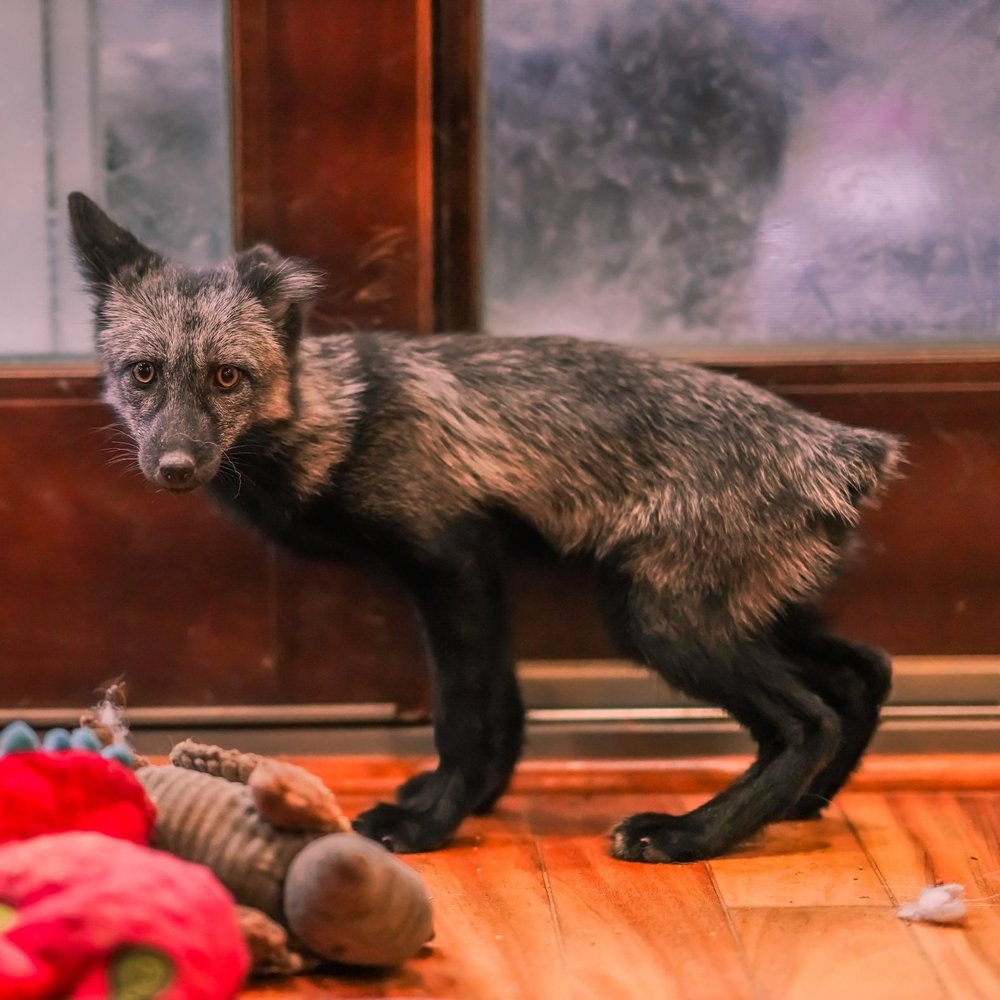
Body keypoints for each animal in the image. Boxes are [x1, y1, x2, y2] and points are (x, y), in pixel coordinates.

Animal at [68, 191, 902, 863]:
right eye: (144, 373)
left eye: (226, 377)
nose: (174, 467)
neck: (343, 420)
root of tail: (842, 449)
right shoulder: (481, 573)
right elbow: (502, 708)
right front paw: (469, 801)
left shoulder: (452, 565)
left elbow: (464, 715)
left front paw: (430, 824)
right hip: (745, 614)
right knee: (864, 673)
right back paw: (803, 807)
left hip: (659, 623)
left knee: (807, 721)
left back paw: (689, 835)